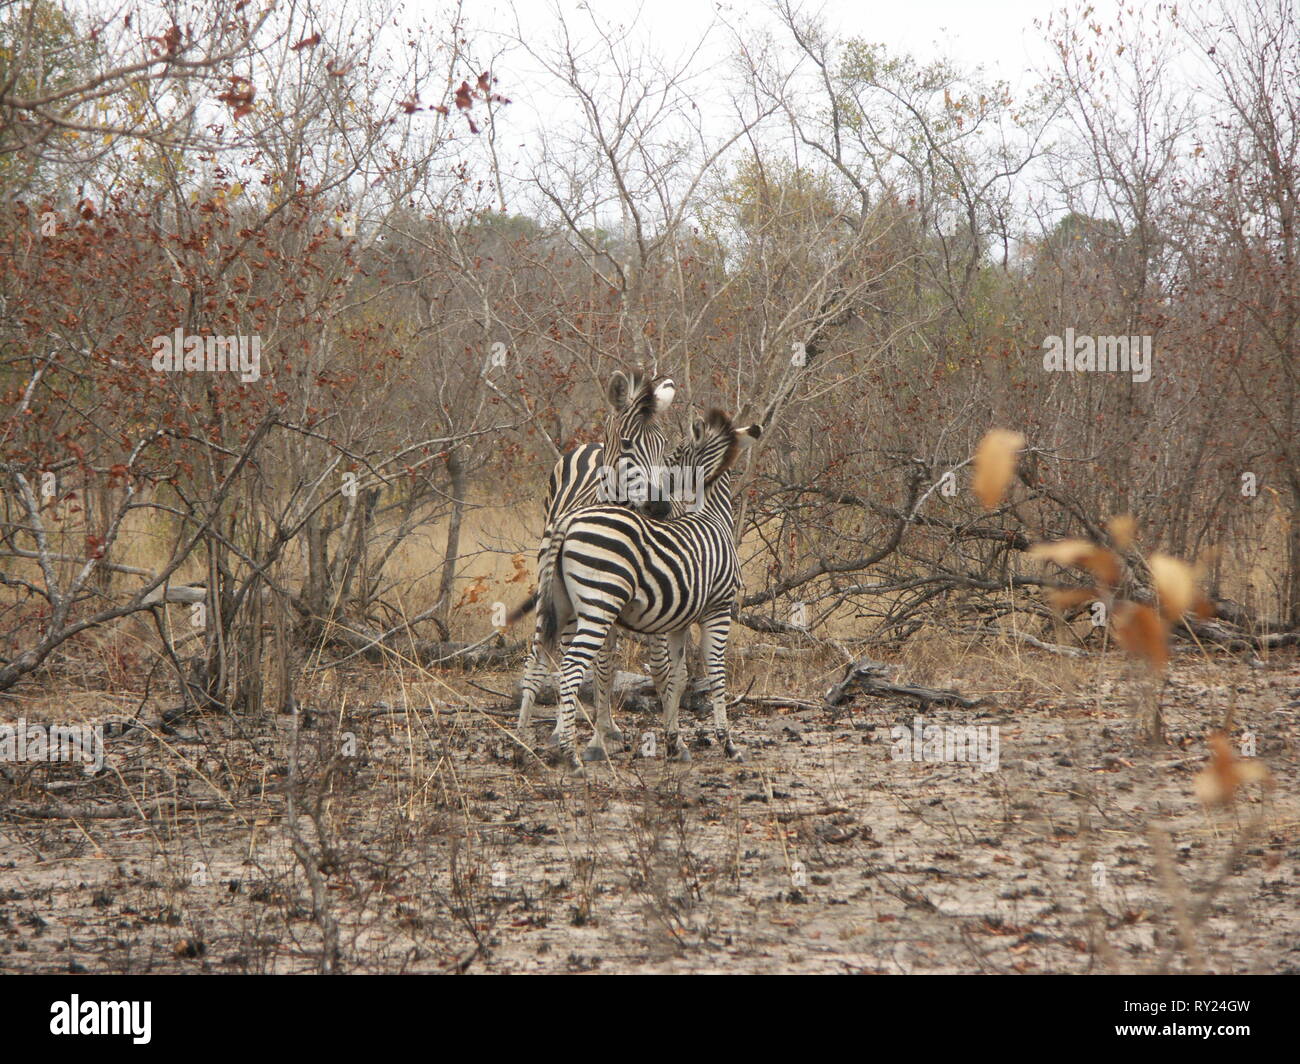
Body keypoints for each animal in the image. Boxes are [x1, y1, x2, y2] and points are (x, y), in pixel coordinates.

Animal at [512, 368, 676, 751]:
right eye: (629, 444)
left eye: (665, 446)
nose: (660, 506)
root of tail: (590, 446)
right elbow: (593, 665)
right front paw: (594, 738)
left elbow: (658, 667)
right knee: (556, 655)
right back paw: (548, 729)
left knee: (603, 656)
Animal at [533, 408, 761, 771]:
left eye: (675, 454)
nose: (660, 502)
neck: (712, 516)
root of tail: (569, 521)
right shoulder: (719, 609)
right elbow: (716, 672)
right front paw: (728, 743)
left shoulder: (681, 620)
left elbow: (677, 676)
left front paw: (674, 741)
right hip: (598, 607)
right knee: (571, 668)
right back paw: (570, 753)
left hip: (560, 600)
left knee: (548, 658)